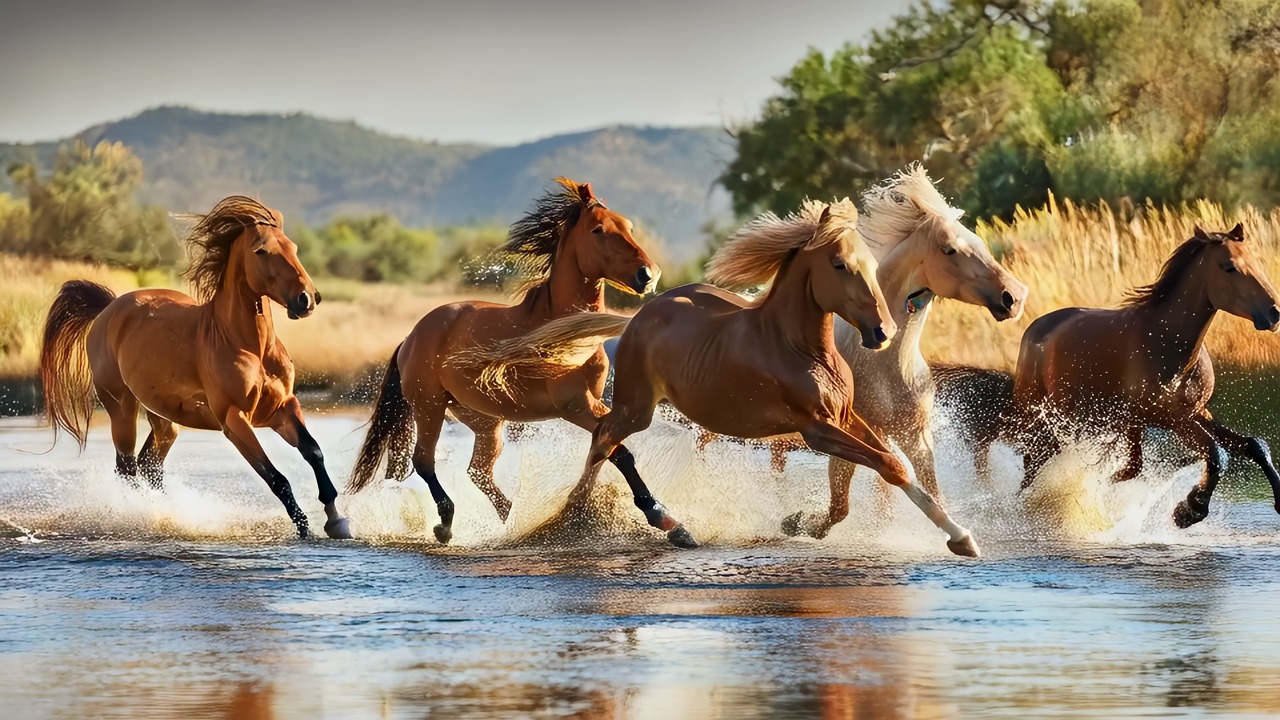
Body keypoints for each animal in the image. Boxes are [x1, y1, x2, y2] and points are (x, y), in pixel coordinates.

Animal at [39, 196, 350, 539]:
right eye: (261, 251)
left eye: (292, 247)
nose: (307, 299)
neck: (246, 345)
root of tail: (109, 307)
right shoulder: (234, 419)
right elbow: (277, 479)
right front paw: (305, 530)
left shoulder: (282, 407)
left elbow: (313, 451)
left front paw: (337, 520)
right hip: (121, 408)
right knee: (127, 467)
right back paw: (148, 517)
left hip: (163, 417)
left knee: (149, 465)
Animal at [346, 179, 658, 543]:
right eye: (598, 230)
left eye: (629, 227)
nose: (648, 275)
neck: (567, 331)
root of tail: (410, 338)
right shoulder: (575, 406)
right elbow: (619, 452)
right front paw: (661, 516)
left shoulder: (591, 403)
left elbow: (603, 452)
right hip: (429, 406)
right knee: (424, 460)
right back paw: (446, 524)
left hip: (483, 419)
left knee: (478, 471)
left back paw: (510, 519)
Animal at [517, 199, 981, 556]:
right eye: (839, 264)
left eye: (868, 262)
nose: (881, 332)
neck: (798, 347)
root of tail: (637, 317)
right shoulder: (817, 430)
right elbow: (889, 466)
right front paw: (962, 538)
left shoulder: (846, 417)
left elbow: (897, 467)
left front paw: (961, 538)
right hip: (637, 407)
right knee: (605, 440)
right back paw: (589, 520)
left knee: (606, 442)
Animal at [1011, 224, 1280, 527]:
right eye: (1229, 267)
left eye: (1256, 261)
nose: (1274, 313)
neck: (1166, 342)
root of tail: (1034, 331)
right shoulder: (1172, 420)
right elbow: (1215, 454)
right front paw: (1189, 510)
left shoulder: (1196, 413)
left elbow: (1254, 445)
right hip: (1043, 424)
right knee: (1032, 468)